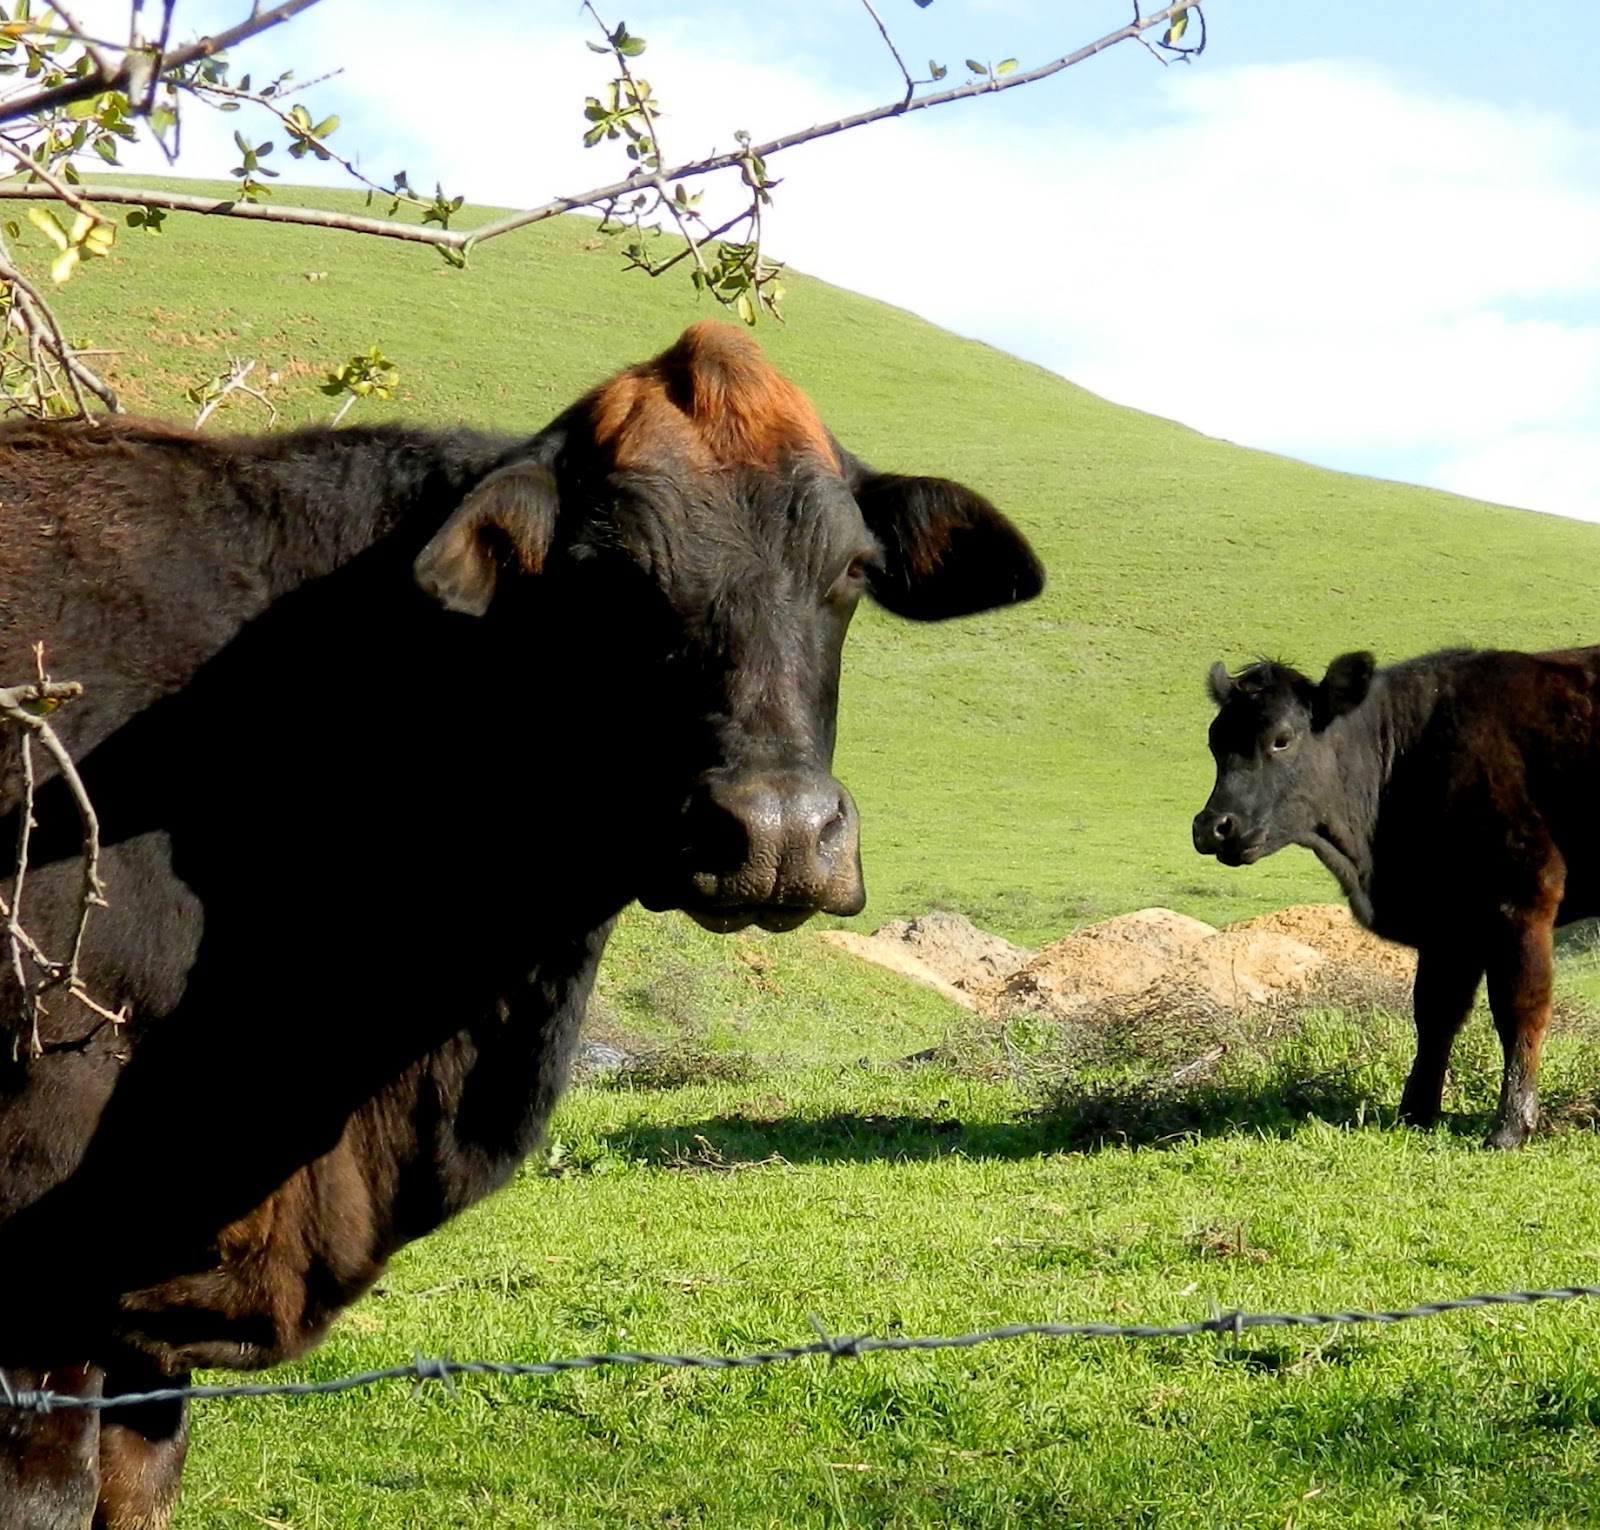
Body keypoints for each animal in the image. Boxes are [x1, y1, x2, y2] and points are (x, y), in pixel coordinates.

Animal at [1192, 646, 1600, 1152]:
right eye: (1215, 741)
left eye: (1281, 740)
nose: (1213, 826)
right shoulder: (1448, 924)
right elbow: (1434, 1012)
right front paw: (1416, 1112)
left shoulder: (1520, 898)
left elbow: (1520, 1011)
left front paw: (1510, 1125)